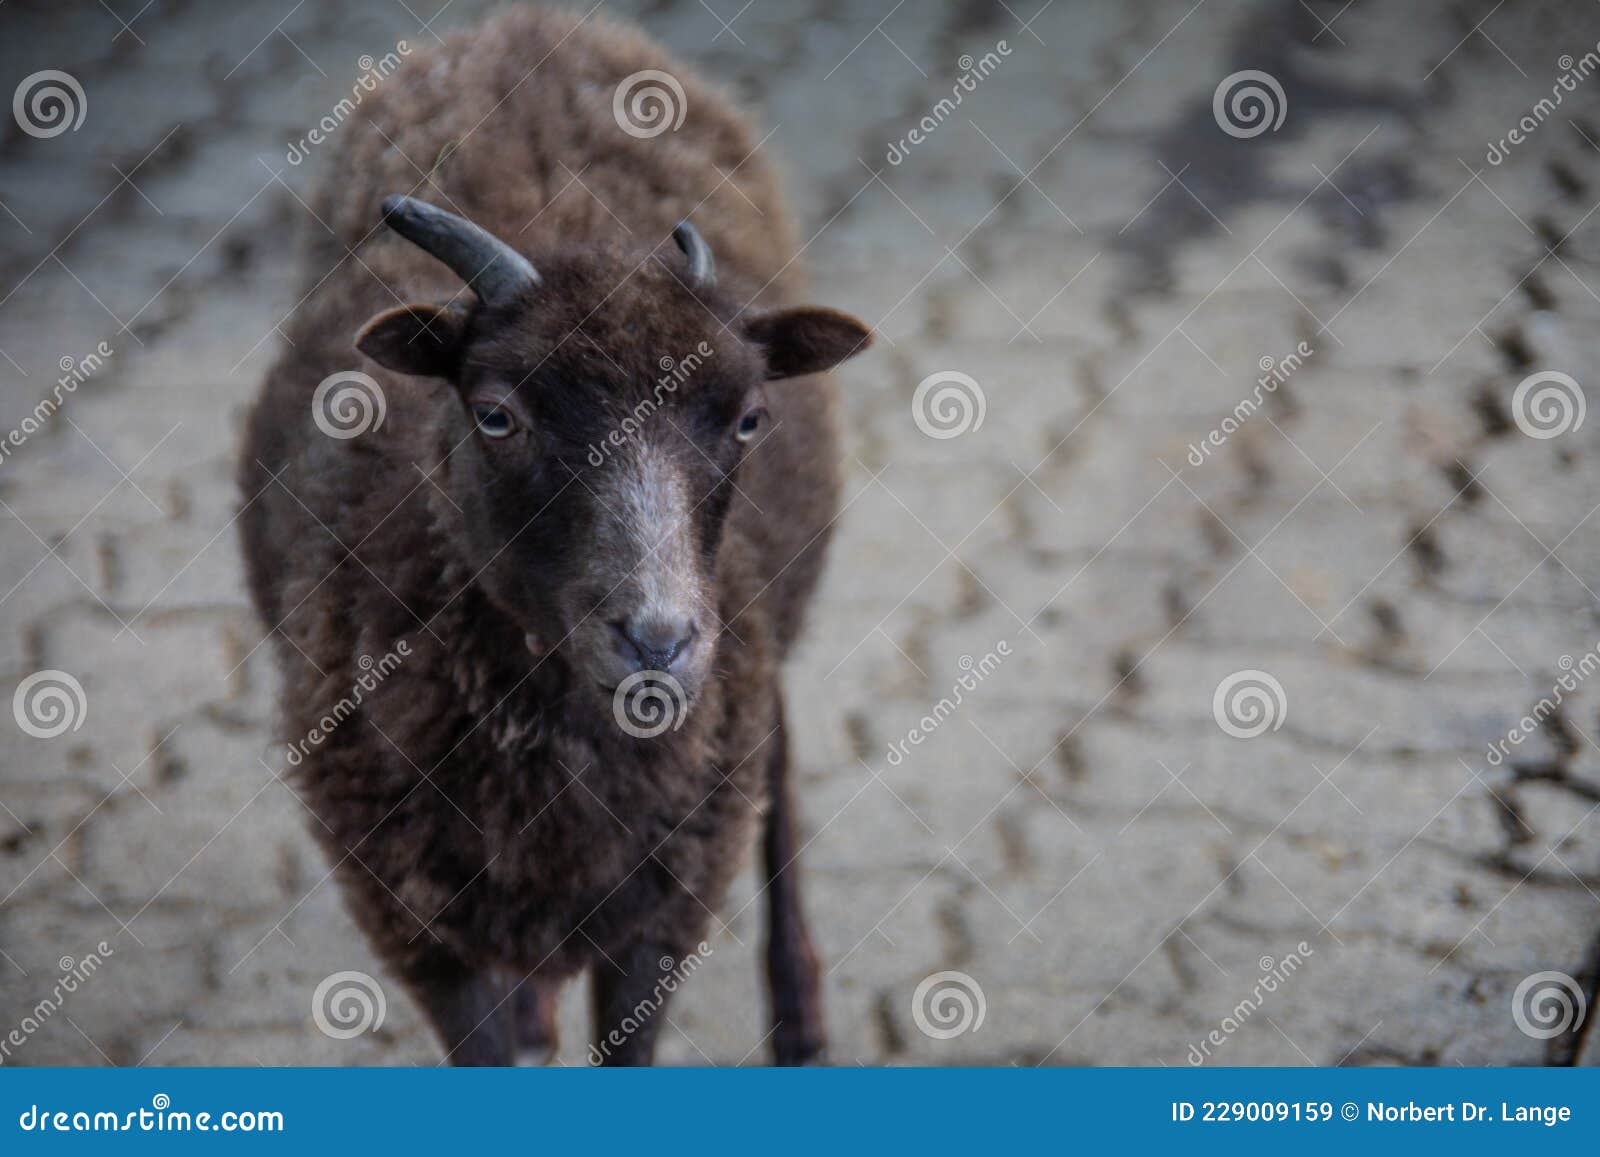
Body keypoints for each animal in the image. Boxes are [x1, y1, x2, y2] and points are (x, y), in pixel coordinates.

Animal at [237, 6, 871, 1066]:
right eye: (497, 415)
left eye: (747, 418)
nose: (659, 640)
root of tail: (537, 25)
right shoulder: (418, 921)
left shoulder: (663, 913)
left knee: (778, 755)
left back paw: (801, 1018)